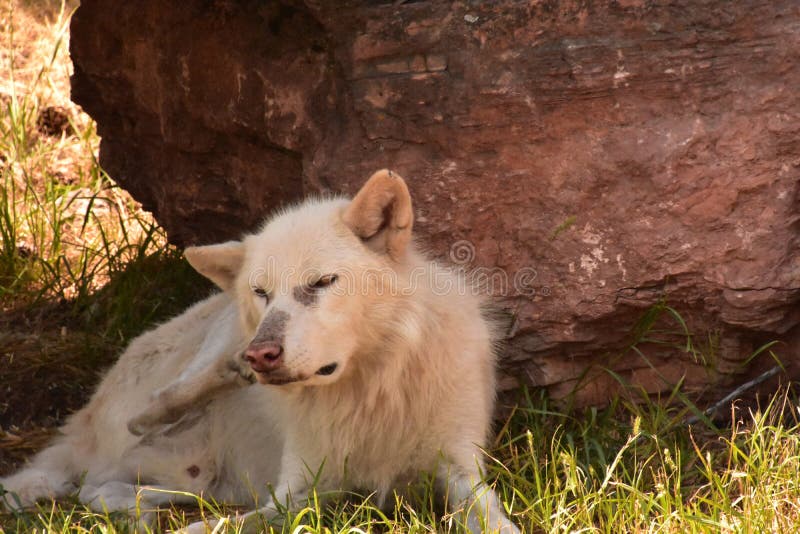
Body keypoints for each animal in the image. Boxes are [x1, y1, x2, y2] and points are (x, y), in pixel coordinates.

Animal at [1, 170, 520, 533]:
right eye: (261, 292)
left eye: (322, 282)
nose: (261, 356)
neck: (370, 389)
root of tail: (83, 425)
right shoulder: (296, 491)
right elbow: (229, 526)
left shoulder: (461, 471)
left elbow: (491, 517)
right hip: (215, 337)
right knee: (156, 409)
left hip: (191, 479)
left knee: (101, 490)